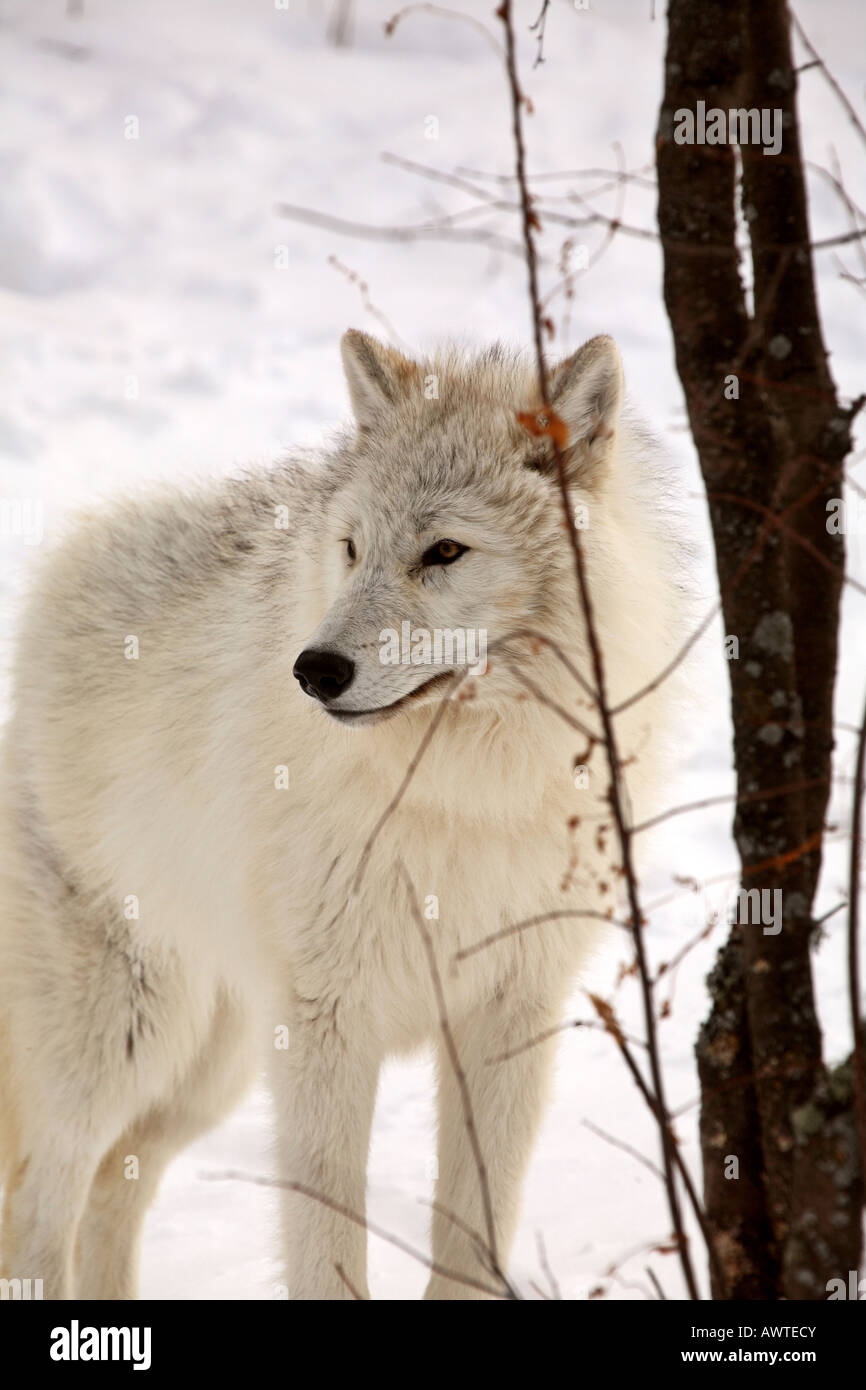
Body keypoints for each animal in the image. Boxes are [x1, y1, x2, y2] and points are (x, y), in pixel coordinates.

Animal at [0, 330, 683, 1300]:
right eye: (352, 549)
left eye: (444, 551)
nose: (314, 670)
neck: (462, 792)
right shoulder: (328, 1025)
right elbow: (327, 1240)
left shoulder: (511, 1018)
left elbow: (471, 1238)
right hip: (124, 1039)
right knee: (38, 1203)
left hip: (212, 1066)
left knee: (112, 1192)